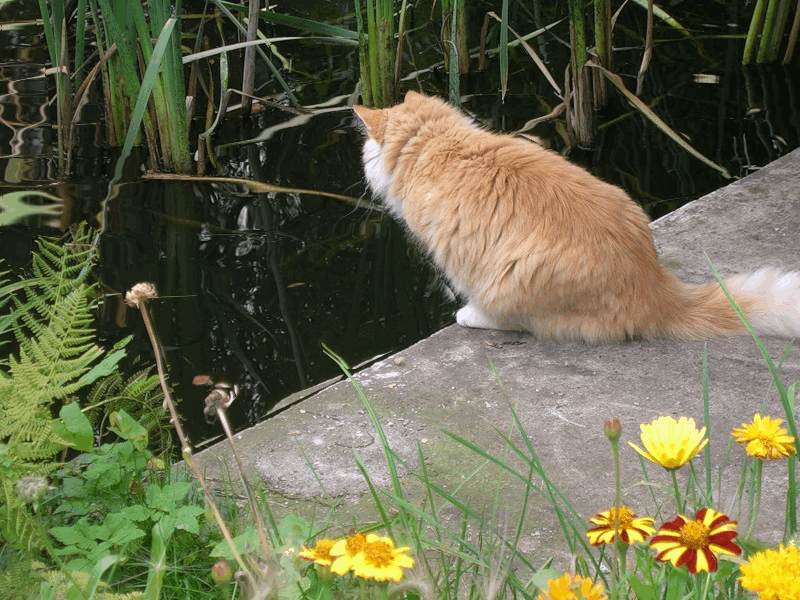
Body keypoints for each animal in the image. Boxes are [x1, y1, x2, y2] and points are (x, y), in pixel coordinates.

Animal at [354, 89, 800, 342]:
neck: (441, 143)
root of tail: (655, 290)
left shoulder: (454, 252)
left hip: (511, 281)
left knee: (515, 320)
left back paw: (470, 316)